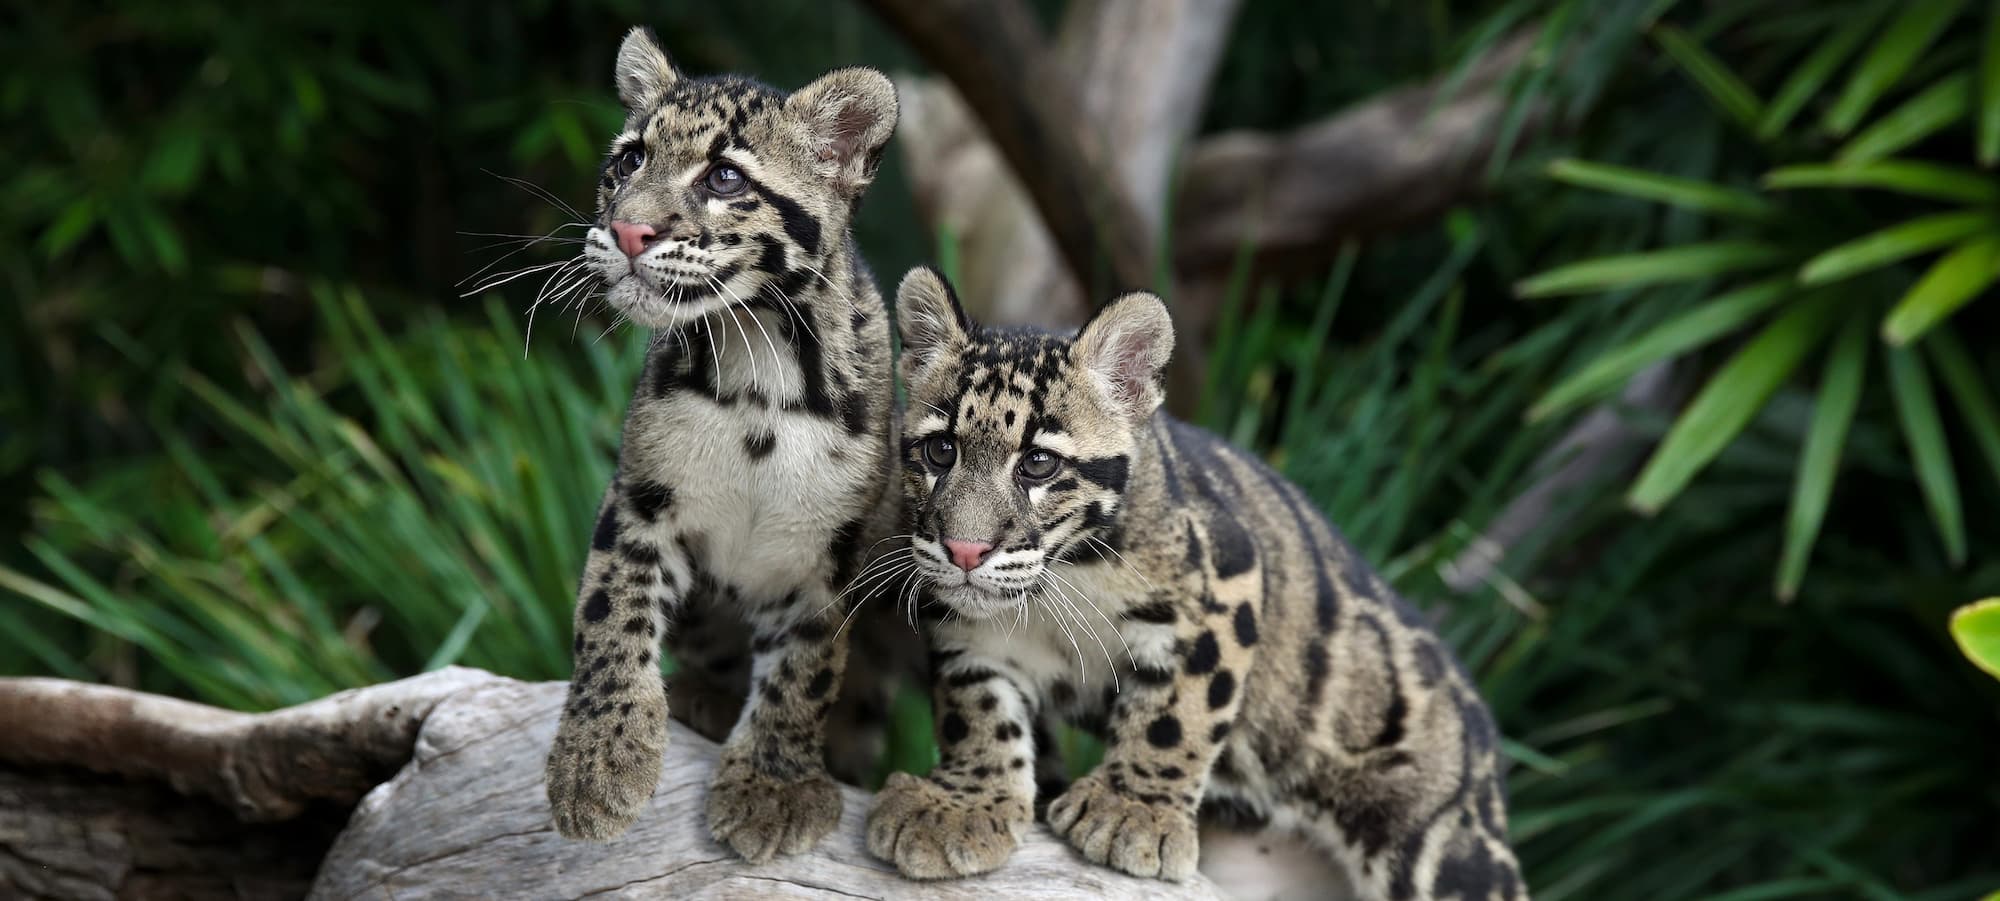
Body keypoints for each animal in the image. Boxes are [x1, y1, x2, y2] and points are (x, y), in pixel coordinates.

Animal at [542, 26, 912, 862]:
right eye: (628, 161)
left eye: (723, 176)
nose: (627, 230)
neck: (759, 367)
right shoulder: (640, 499)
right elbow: (609, 614)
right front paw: (598, 761)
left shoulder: (830, 553)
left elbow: (806, 670)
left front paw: (772, 785)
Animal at [862, 266, 1526, 899]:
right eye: (941, 451)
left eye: (1039, 463)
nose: (965, 550)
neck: (1061, 581)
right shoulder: (966, 625)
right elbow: (975, 708)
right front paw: (960, 804)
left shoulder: (1228, 582)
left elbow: (1180, 709)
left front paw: (1132, 811)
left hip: (1444, 846)